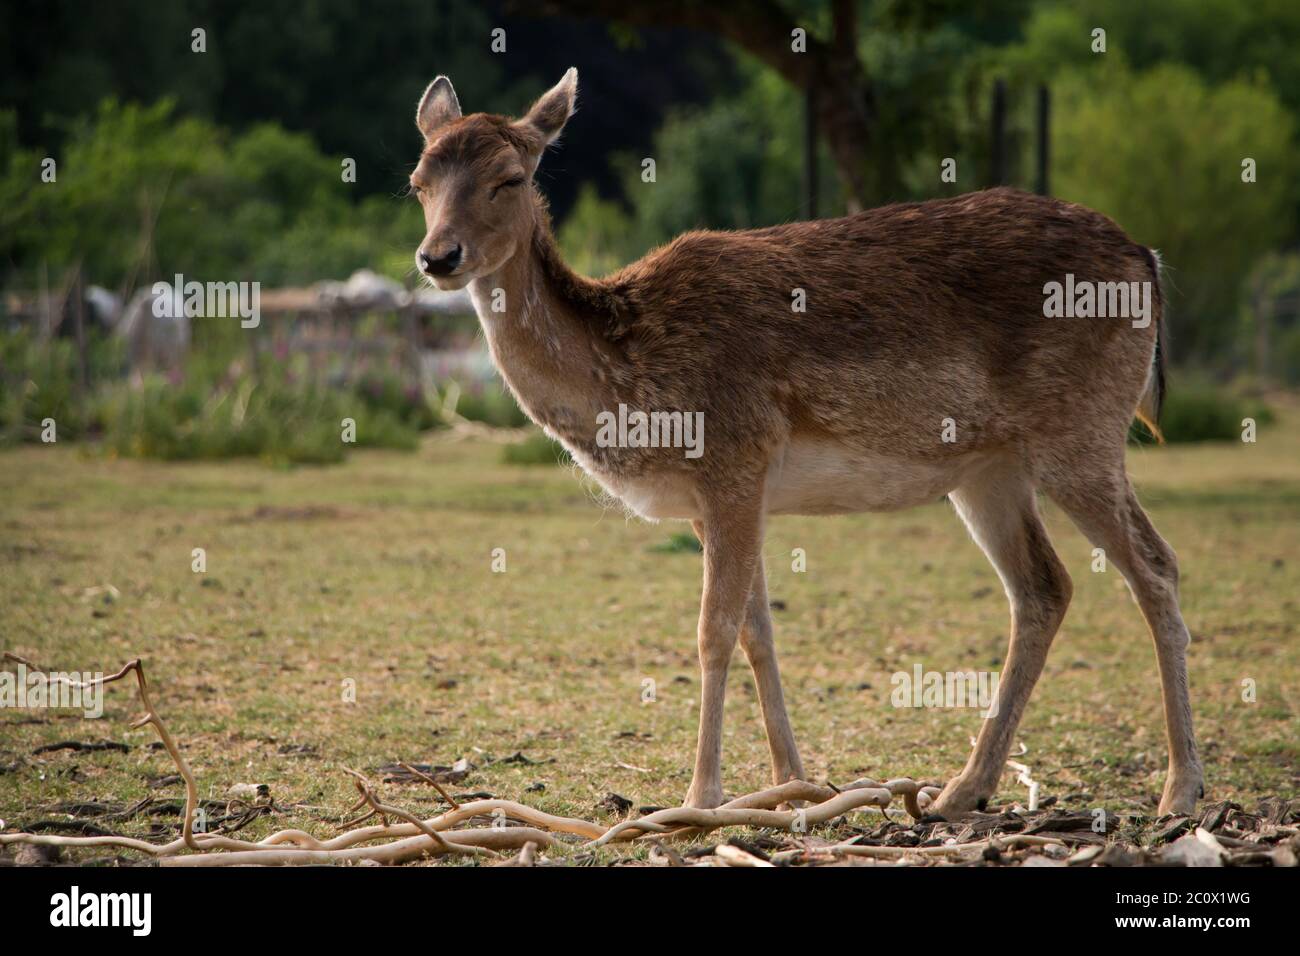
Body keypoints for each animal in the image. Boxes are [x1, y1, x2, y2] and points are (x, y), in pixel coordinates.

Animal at [408, 68, 1203, 817]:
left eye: (510, 179)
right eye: (418, 181)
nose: (437, 257)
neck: (634, 384)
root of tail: (1148, 259)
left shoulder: (734, 456)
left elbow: (714, 629)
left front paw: (701, 797)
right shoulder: (724, 494)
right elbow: (758, 630)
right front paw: (790, 783)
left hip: (1081, 431)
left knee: (1155, 566)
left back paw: (1180, 790)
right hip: (989, 470)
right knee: (1045, 586)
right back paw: (961, 790)